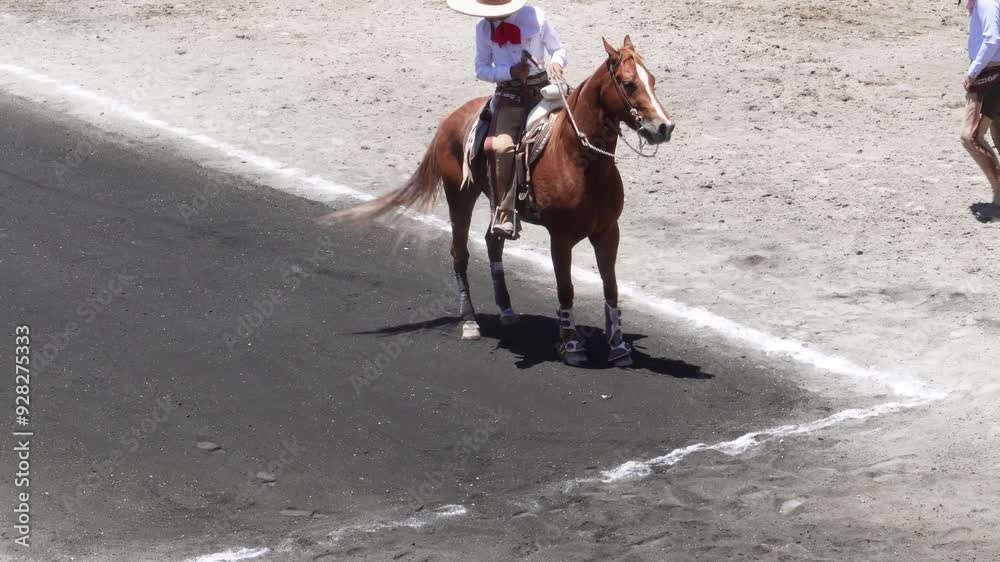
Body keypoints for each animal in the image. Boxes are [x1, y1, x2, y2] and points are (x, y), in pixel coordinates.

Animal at [333, 35, 674, 367]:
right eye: (629, 84)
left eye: (653, 80)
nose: (664, 127)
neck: (579, 162)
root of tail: (450, 119)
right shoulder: (560, 237)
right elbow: (565, 288)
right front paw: (571, 345)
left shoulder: (607, 232)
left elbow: (611, 288)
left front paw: (618, 347)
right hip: (460, 196)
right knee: (460, 253)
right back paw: (470, 322)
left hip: (498, 205)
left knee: (492, 241)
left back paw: (507, 311)